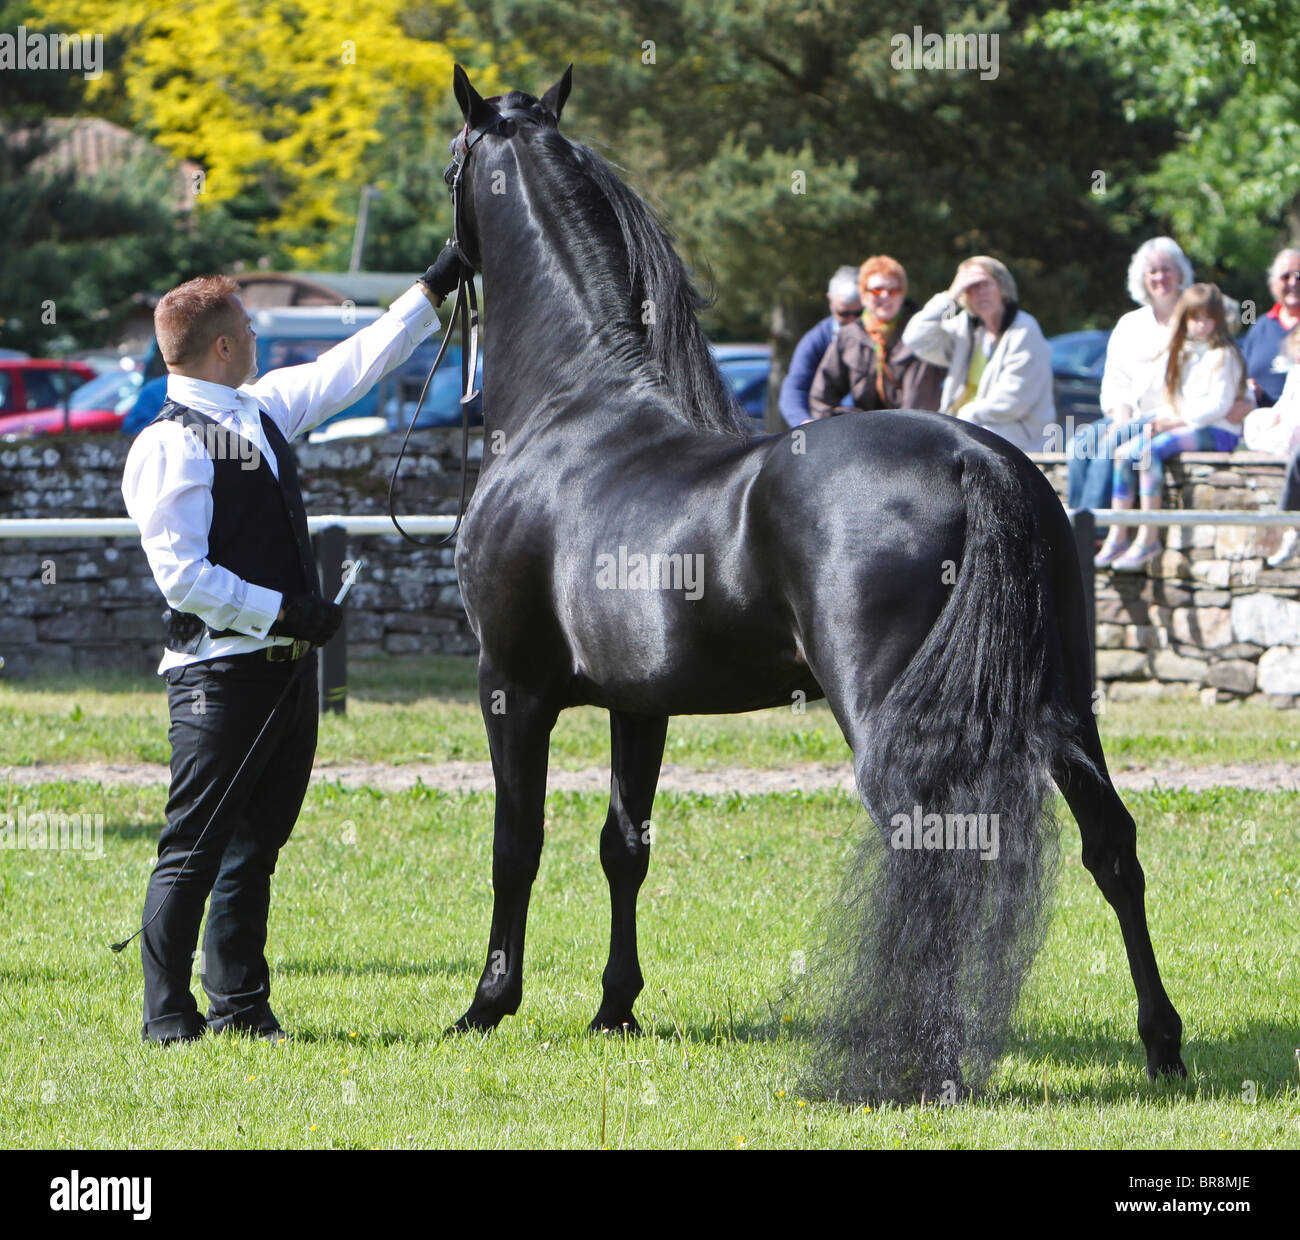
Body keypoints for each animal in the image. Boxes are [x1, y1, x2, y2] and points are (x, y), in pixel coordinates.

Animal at [440, 64, 1185, 1102]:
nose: (438, 272)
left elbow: (517, 847)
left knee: (933, 850)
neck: (571, 412)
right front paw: (615, 1009)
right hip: (1065, 703)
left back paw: (914, 1059)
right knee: (1112, 846)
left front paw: (487, 1005)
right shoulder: (640, 704)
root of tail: (974, 456)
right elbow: (622, 848)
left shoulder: (510, 687)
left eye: (449, 168)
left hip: (890, 716)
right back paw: (1161, 1044)